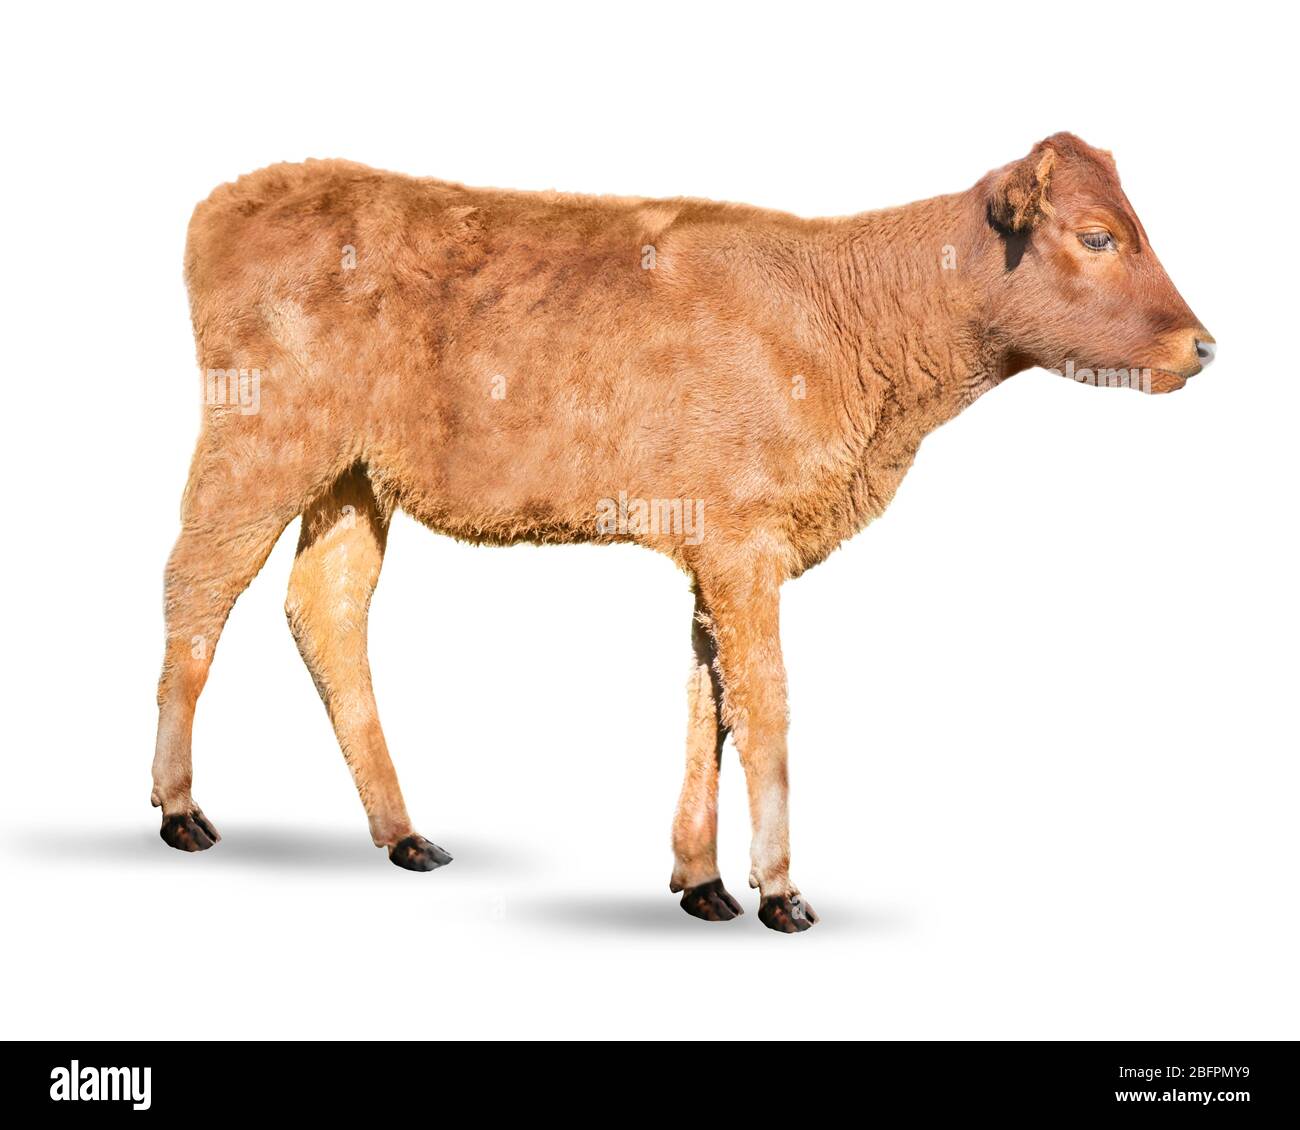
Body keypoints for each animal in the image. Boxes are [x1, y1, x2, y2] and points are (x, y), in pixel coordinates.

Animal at [153, 133, 1213, 932]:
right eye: (1097, 236)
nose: (1202, 343)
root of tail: (239, 193)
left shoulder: (717, 551)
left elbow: (713, 699)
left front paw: (701, 881)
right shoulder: (744, 542)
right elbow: (768, 703)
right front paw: (780, 889)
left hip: (353, 476)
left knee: (326, 610)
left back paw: (404, 834)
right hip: (260, 446)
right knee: (196, 591)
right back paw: (180, 806)